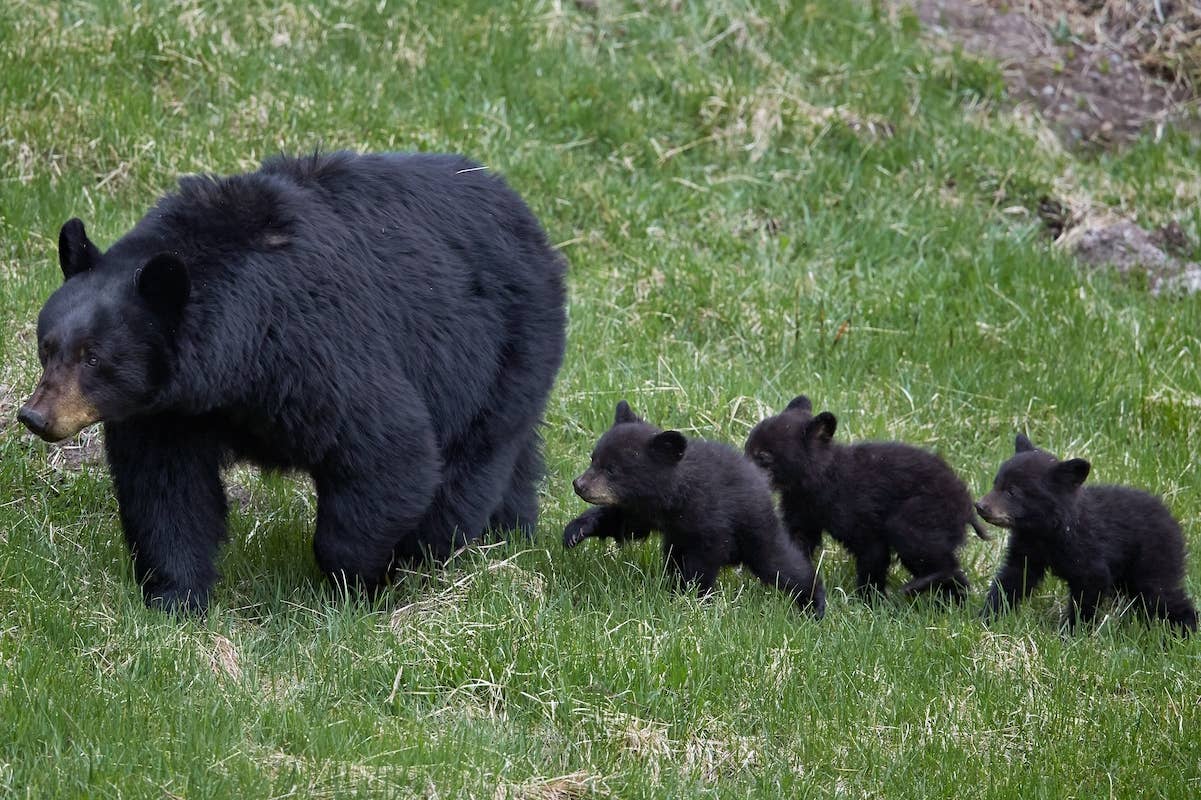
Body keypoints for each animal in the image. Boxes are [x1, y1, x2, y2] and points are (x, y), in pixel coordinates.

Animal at [18, 150, 567, 613]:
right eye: (48, 347)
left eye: (93, 358)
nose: (35, 415)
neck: (231, 356)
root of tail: (527, 216)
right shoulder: (166, 410)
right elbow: (165, 488)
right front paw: (174, 598)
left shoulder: (311, 345)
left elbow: (388, 448)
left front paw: (358, 584)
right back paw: (511, 532)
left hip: (498, 350)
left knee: (471, 461)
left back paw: (436, 554)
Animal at [563, 400, 826, 617]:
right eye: (593, 459)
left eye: (612, 469)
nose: (578, 484)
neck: (673, 497)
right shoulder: (644, 510)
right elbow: (624, 525)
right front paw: (575, 530)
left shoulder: (710, 519)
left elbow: (704, 559)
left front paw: (689, 596)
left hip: (754, 526)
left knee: (779, 563)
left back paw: (814, 604)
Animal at [744, 395, 989, 602]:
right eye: (747, 448)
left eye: (763, 457)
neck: (816, 482)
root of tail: (967, 507)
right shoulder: (801, 508)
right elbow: (796, 542)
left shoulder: (858, 512)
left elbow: (872, 553)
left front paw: (868, 600)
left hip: (923, 513)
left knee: (930, 551)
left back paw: (918, 587)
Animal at [976, 434, 1197, 633]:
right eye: (996, 483)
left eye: (1012, 491)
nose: (980, 506)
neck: (1046, 531)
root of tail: (1174, 523)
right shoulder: (1026, 547)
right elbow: (1011, 579)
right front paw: (988, 616)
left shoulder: (1087, 551)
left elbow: (1089, 587)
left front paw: (1071, 632)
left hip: (1152, 562)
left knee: (1165, 595)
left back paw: (1184, 633)